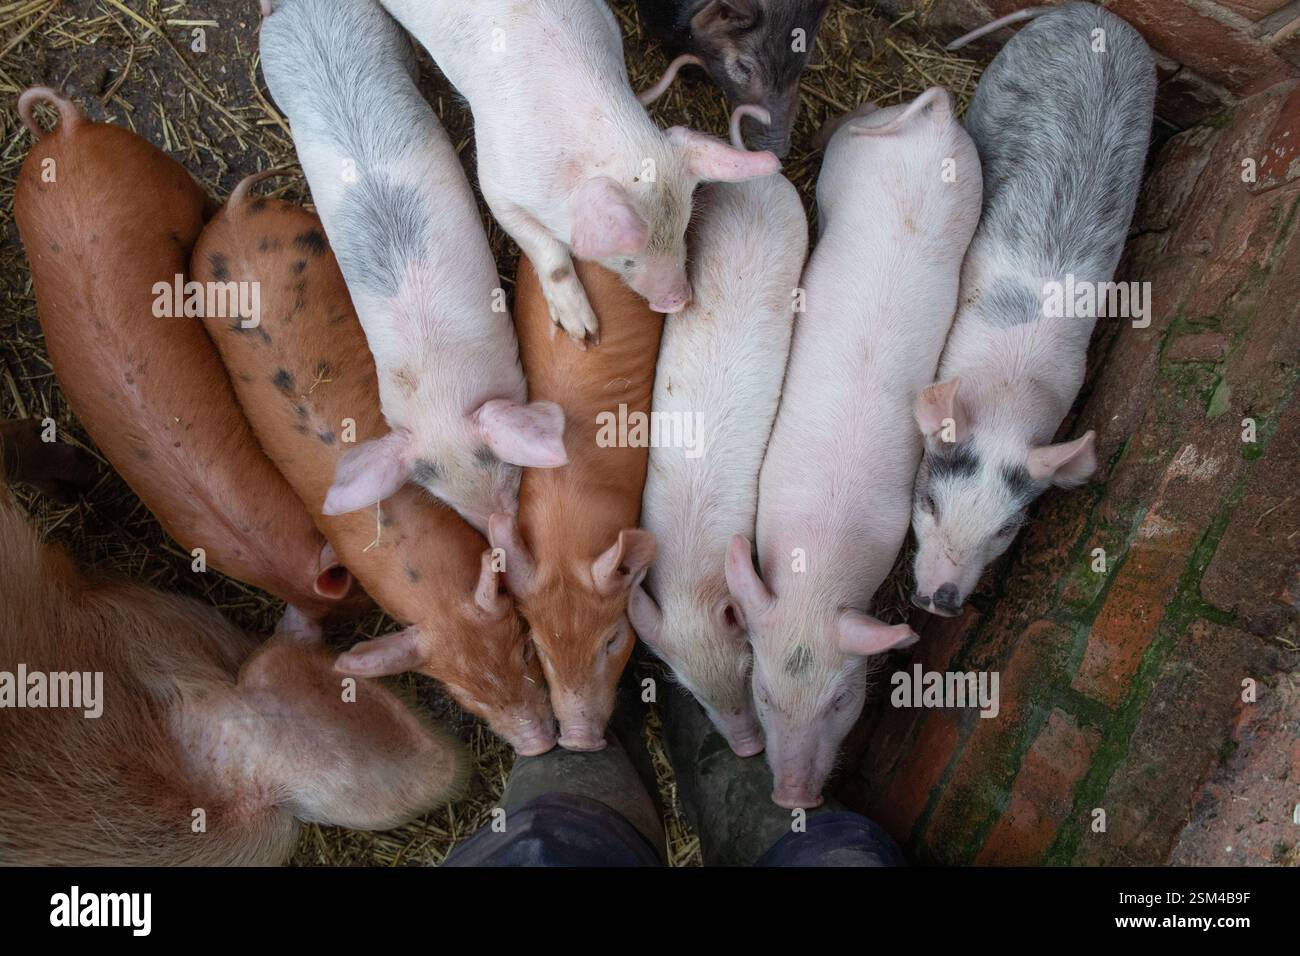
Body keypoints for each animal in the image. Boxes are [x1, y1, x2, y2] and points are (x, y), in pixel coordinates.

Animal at [258, 0, 567, 533]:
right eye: (445, 500)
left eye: (509, 472)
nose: (500, 534)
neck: (436, 383)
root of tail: (302, 8)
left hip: (382, 33)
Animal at [379, 0, 781, 342]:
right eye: (626, 258)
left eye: (683, 229)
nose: (680, 299)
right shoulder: (494, 180)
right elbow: (546, 249)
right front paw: (584, 333)